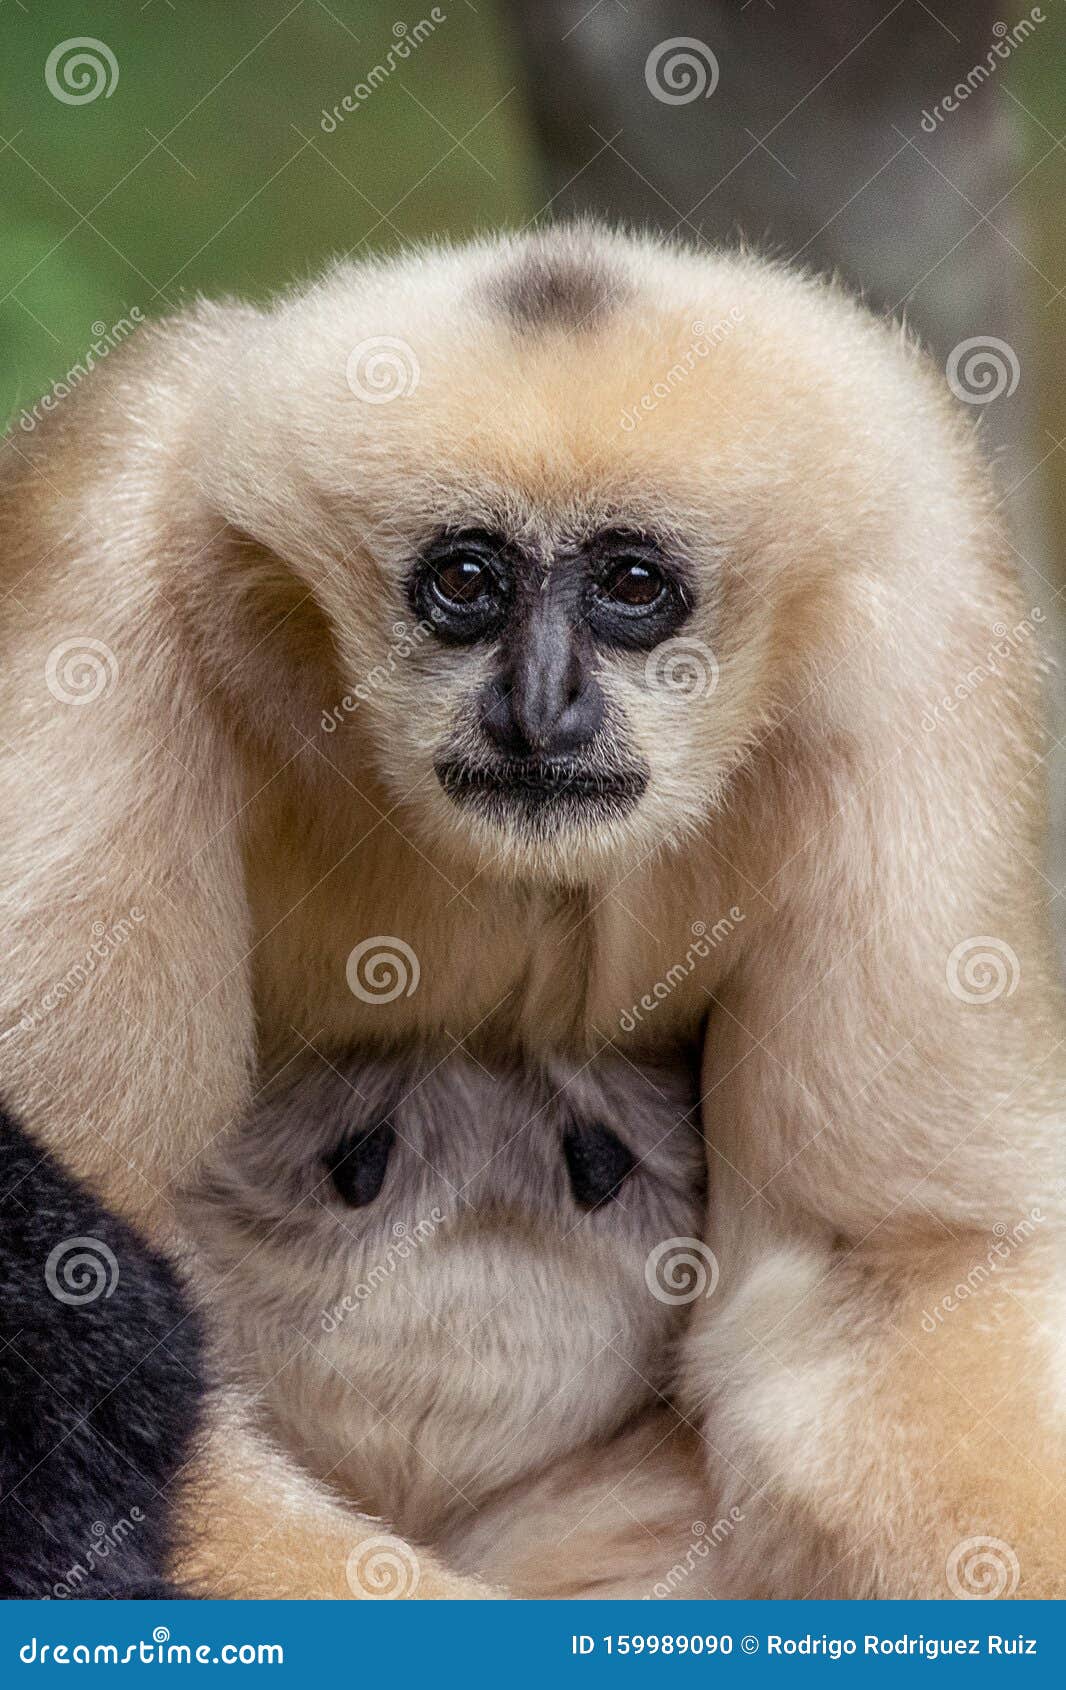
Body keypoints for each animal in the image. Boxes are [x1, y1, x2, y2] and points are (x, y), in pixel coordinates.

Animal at [1, 221, 1064, 1598]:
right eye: (465, 580)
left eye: (631, 586)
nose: (541, 705)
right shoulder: (104, 550)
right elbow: (87, 1277)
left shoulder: (918, 615)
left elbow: (887, 1277)